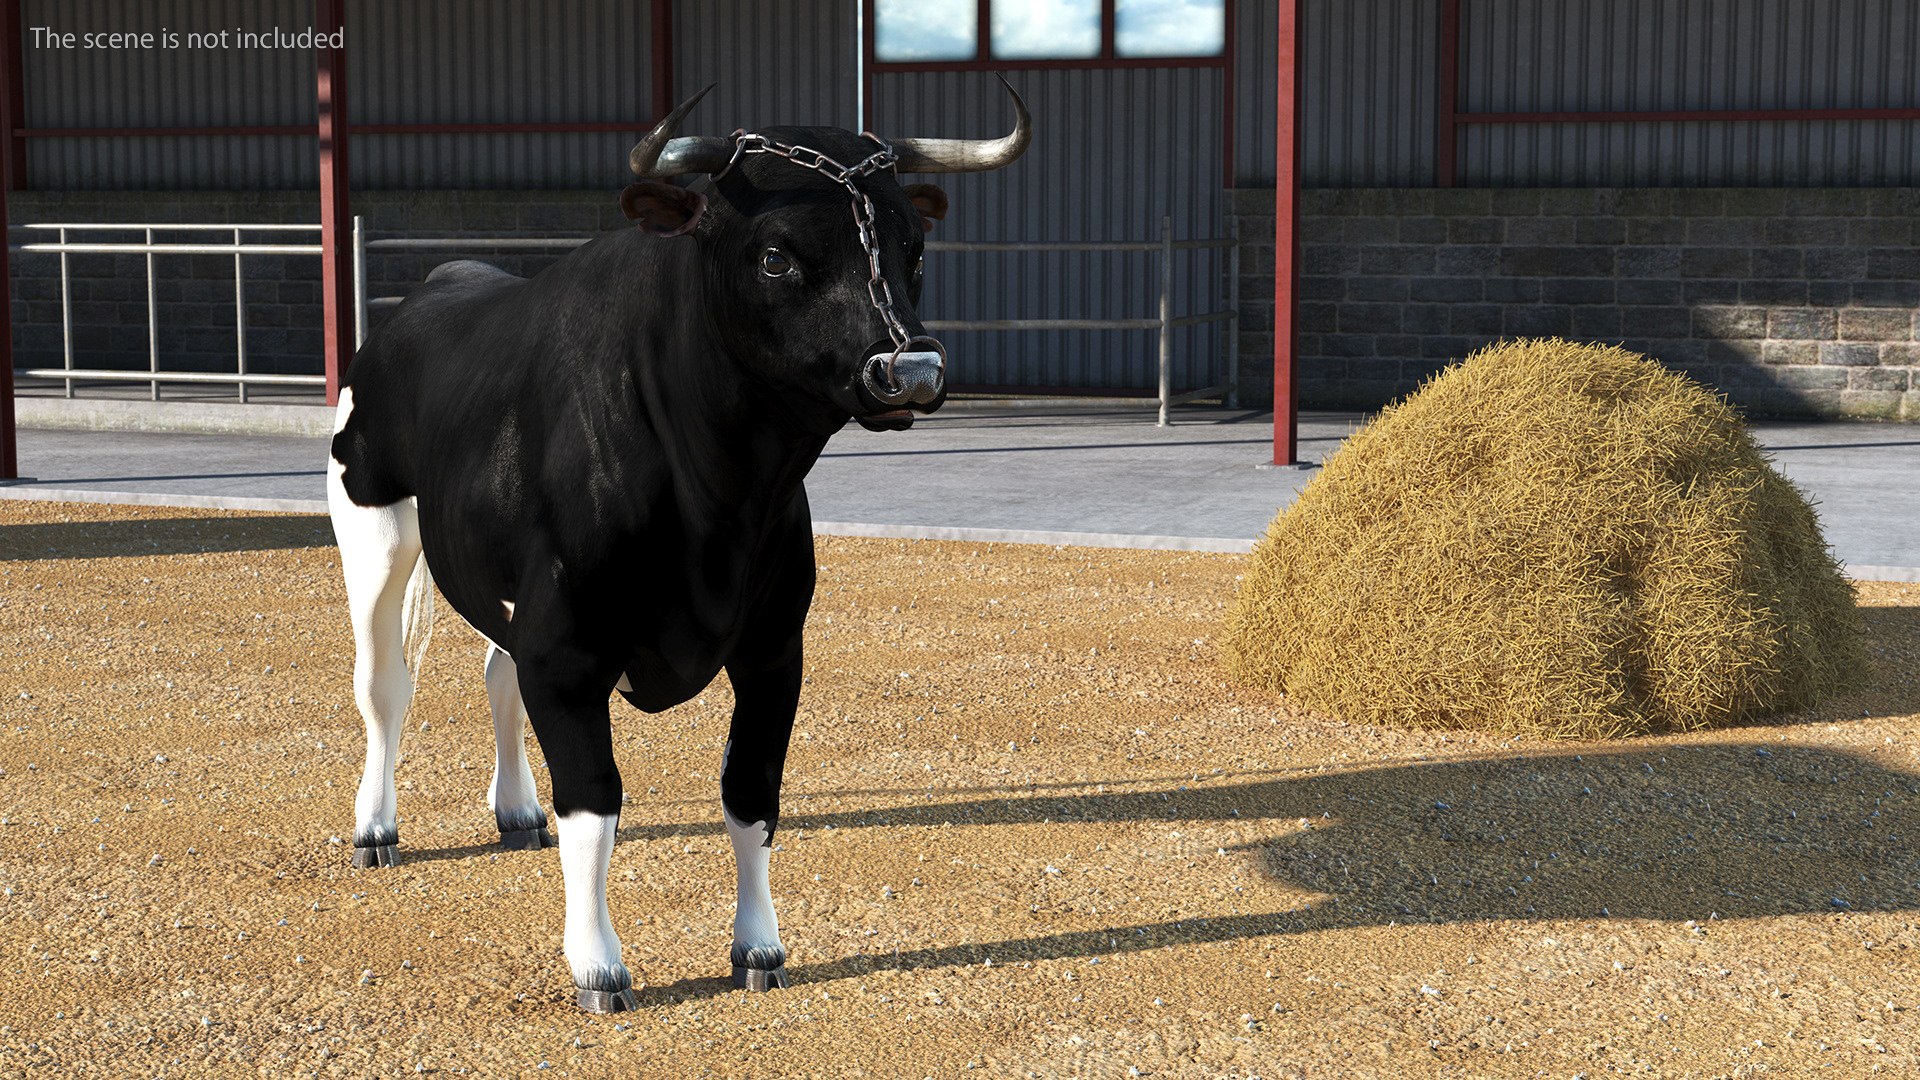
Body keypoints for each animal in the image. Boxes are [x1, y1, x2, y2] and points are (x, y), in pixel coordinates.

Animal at [324, 81, 1029, 1011]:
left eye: (913, 249)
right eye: (776, 256)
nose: (909, 371)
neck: (718, 505)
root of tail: (445, 281)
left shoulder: (773, 647)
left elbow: (751, 792)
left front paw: (759, 948)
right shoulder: (567, 651)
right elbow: (595, 800)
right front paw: (597, 964)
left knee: (494, 672)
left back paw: (515, 812)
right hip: (369, 526)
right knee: (384, 686)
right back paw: (375, 826)